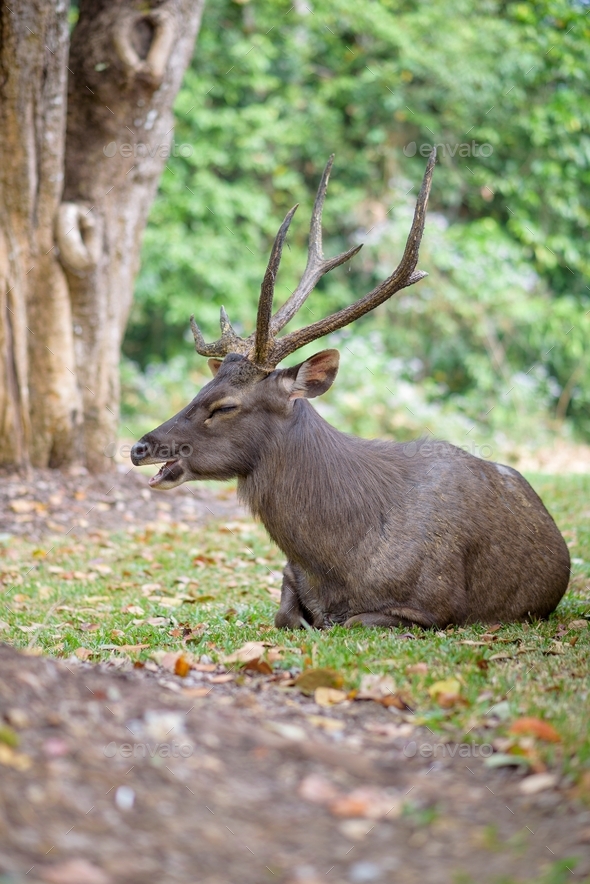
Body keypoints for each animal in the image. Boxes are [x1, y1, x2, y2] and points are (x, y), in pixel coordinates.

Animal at [131, 150, 570, 629]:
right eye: (203, 386)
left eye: (224, 406)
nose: (139, 447)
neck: (336, 563)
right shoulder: (289, 575)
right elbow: (286, 616)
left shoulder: (435, 607)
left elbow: (351, 621)